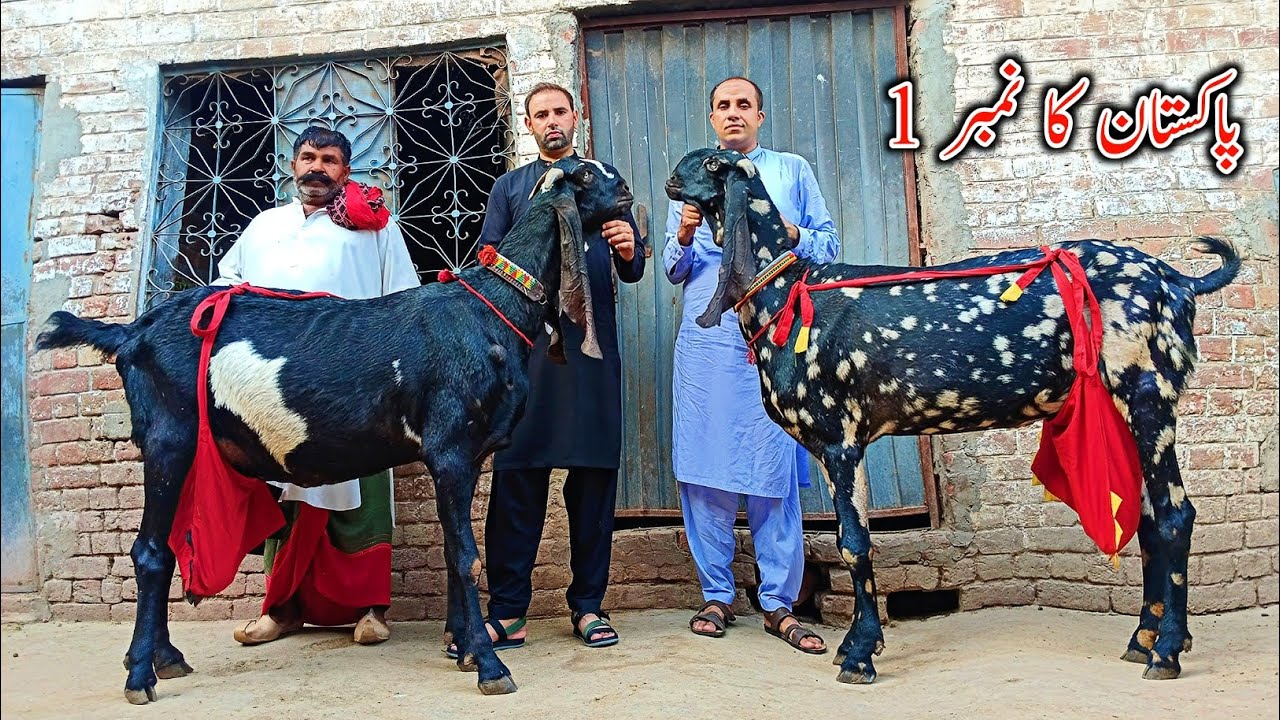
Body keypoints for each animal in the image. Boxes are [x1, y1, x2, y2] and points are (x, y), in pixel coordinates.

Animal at [35, 157, 634, 702]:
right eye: (588, 175)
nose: (628, 189)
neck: (489, 310)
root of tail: (131, 333)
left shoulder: (467, 455)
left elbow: (451, 551)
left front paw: (465, 650)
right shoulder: (450, 450)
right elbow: (466, 557)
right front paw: (489, 666)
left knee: (165, 547)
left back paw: (165, 657)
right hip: (168, 438)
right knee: (150, 551)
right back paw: (141, 674)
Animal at [665, 147, 1241, 685]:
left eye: (711, 163)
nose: (670, 176)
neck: (789, 295)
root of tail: (1176, 279)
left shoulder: (840, 439)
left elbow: (854, 545)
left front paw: (859, 651)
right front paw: (861, 643)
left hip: (1148, 395)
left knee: (1175, 515)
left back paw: (1166, 651)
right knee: (1148, 520)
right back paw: (1144, 640)